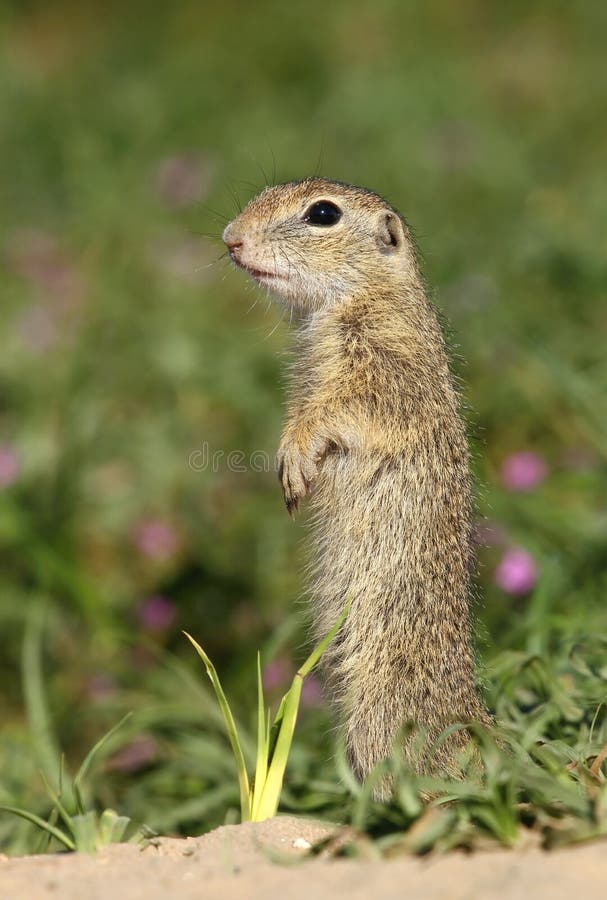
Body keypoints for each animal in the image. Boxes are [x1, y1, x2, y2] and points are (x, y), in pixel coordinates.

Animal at [223, 178, 491, 796]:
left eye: (323, 214)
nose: (230, 238)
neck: (354, 301)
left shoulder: (384, 371)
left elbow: (343, 408)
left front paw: (297, 455)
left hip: (379, 706)